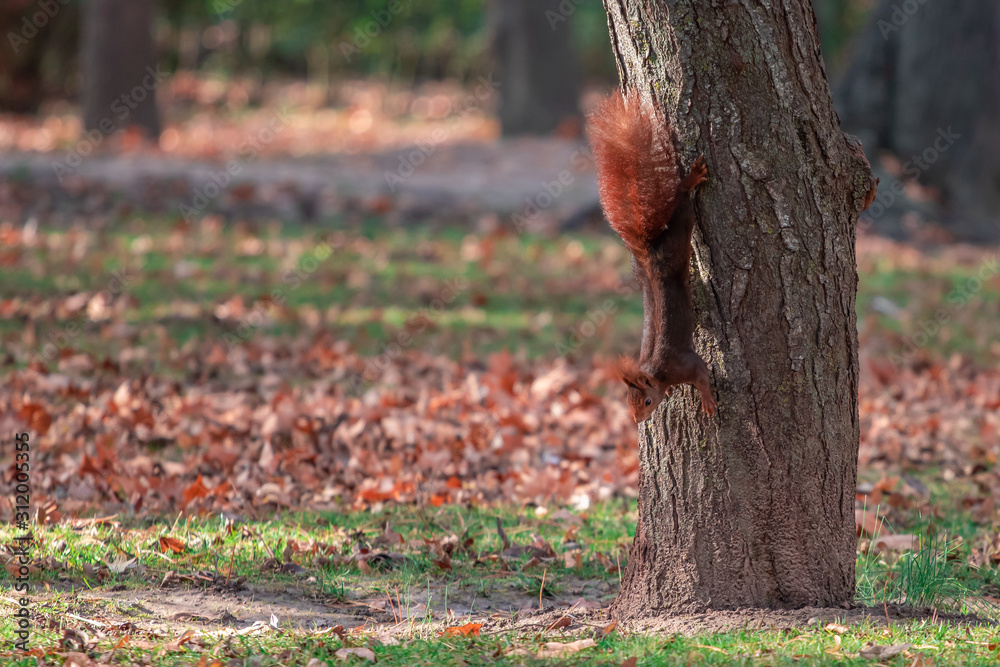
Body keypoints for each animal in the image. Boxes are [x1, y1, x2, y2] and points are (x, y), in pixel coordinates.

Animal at [587, 90, 716, 422]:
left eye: (646, 401)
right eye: (626, 400)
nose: (637, 420)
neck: (656, 373)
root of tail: (647, 254)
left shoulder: (683, 364)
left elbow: (701, 374)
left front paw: (707, 400)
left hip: (679, 234)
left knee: (683, 202)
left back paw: (691, 178)